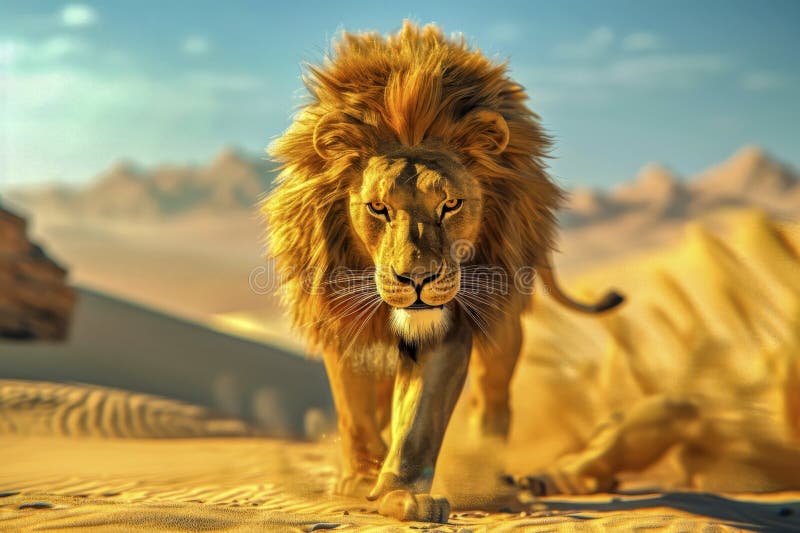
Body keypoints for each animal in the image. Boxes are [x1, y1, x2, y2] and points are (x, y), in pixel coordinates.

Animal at [263, 22, 623, 522]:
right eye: (378, 208)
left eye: (450, 204)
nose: (417, 281)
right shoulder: (339, 316)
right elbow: (354, 408)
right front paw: (360, 478)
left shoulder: (450, 323)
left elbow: (420, 420)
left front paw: (403, 494)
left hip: (502, 323)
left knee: (494, 398)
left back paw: (493, 483)